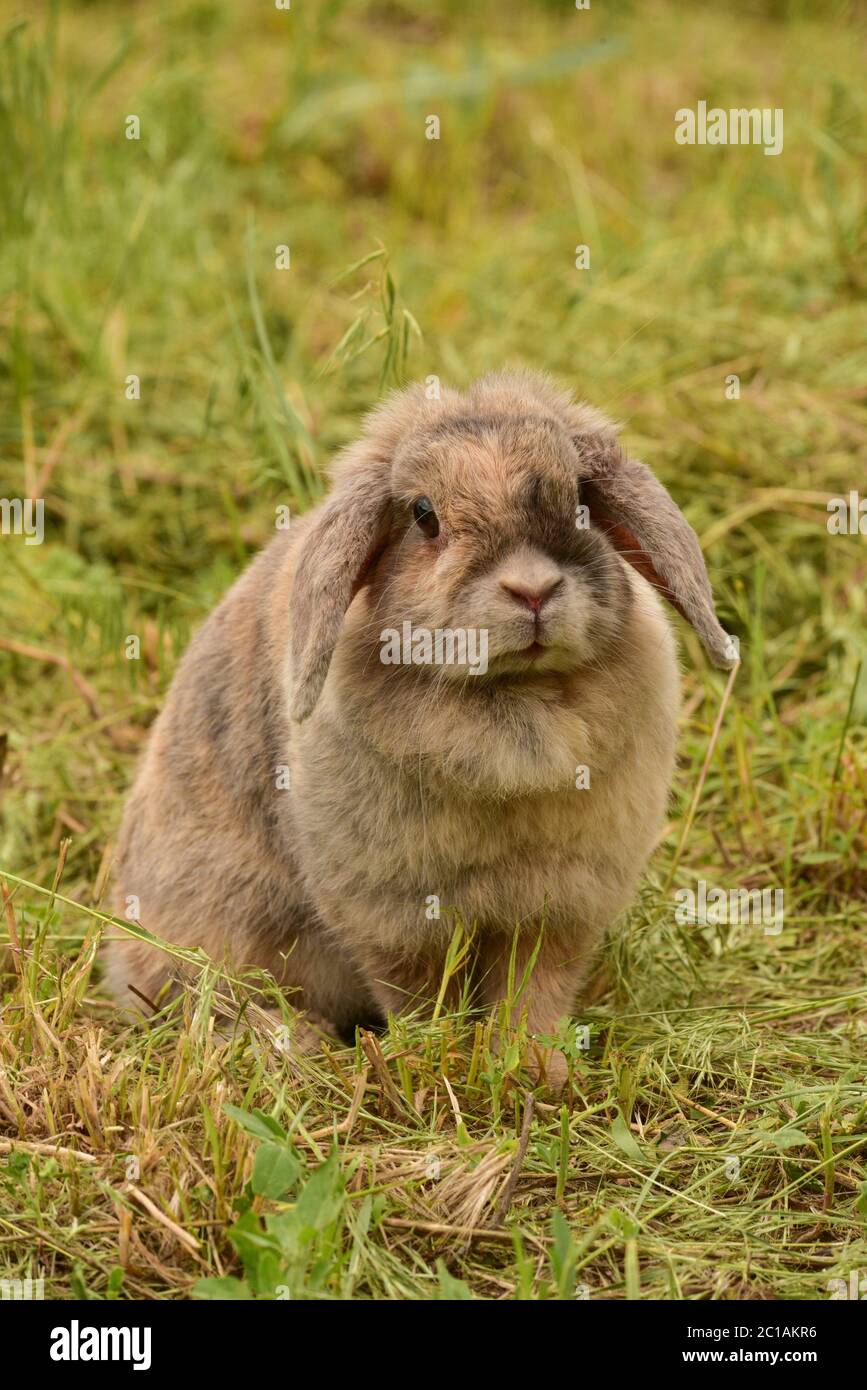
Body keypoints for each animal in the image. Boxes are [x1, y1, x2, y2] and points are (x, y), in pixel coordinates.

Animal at [104, 370, 735, 1085]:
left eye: (580, 497)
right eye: (423, 515)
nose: (533, 591)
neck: (511, 696)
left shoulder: (559, 905)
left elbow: (534, 988)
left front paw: (536, 1066)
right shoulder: (396, 915)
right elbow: (421, 993)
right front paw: (441, 1058)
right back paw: (296, 1043)